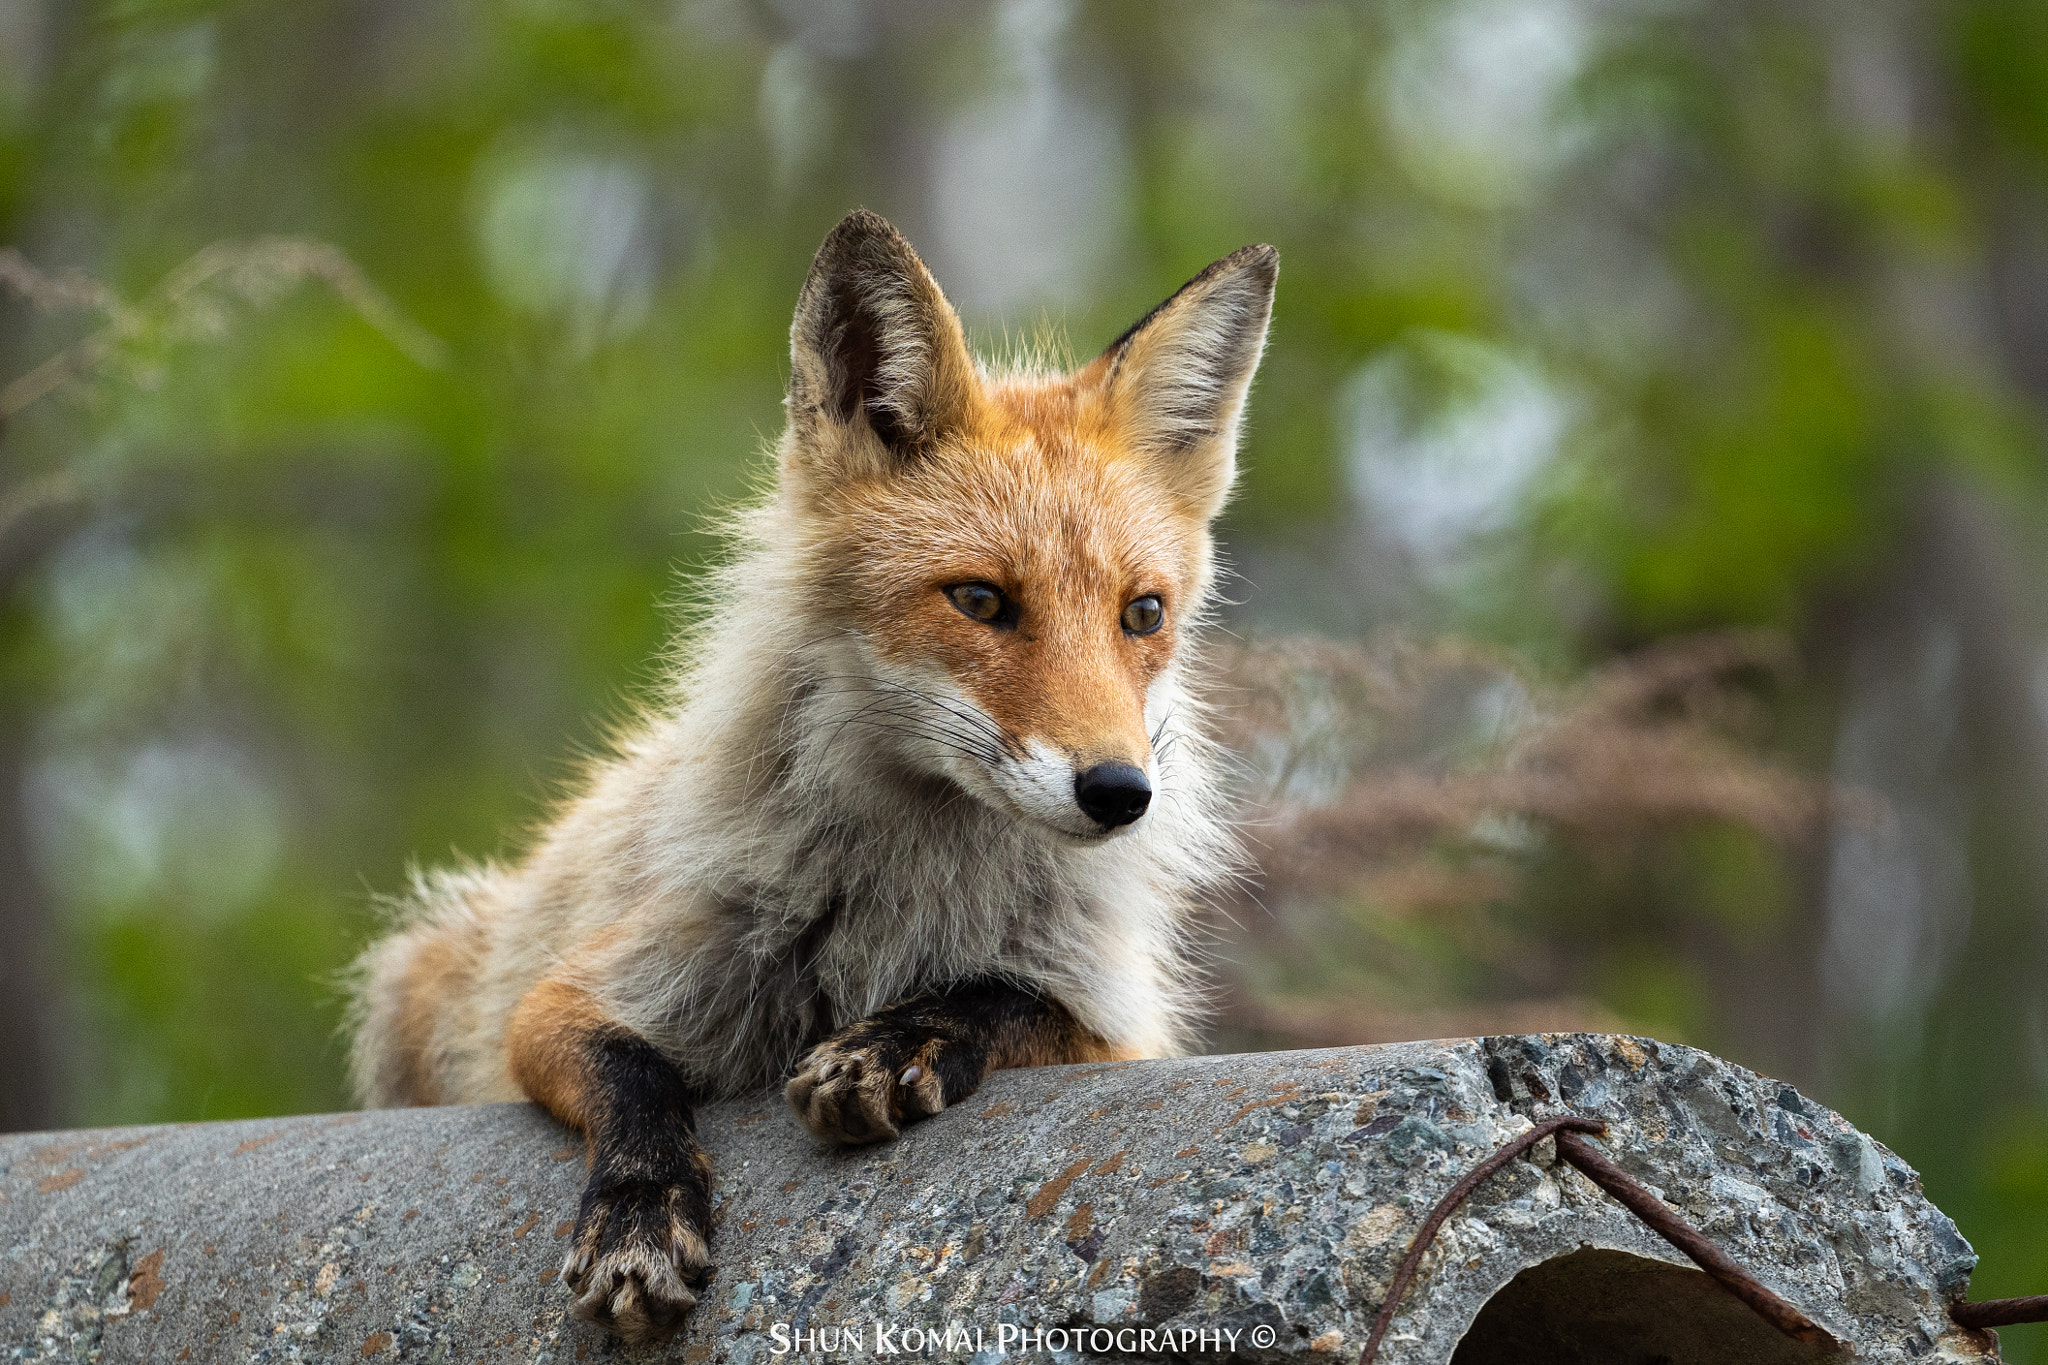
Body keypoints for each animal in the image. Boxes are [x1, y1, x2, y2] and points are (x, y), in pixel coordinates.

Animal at [345, 209, 1277, 1344]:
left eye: (1142, 615)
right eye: (979, 600)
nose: (1119, 793)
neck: (909, 894)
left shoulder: (1117, 1023)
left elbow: (1004, 997)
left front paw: (898, 1041)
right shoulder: (576, 993)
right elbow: (634, 1080)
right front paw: (639, 1215)